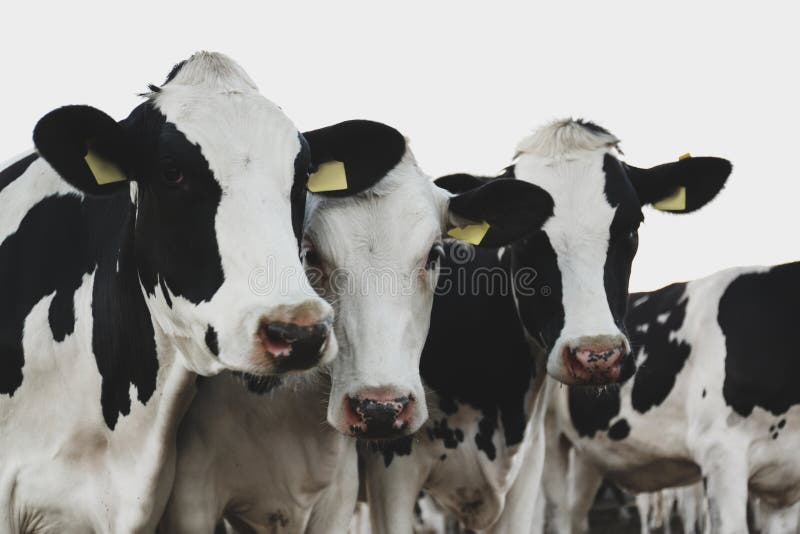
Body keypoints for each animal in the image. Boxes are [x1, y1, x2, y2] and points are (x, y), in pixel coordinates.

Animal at [542, 261, 800, 534]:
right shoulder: (720, 452)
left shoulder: (784, 484)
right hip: (550, 439)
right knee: (558, 514)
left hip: (586, 456)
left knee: (577, 513)